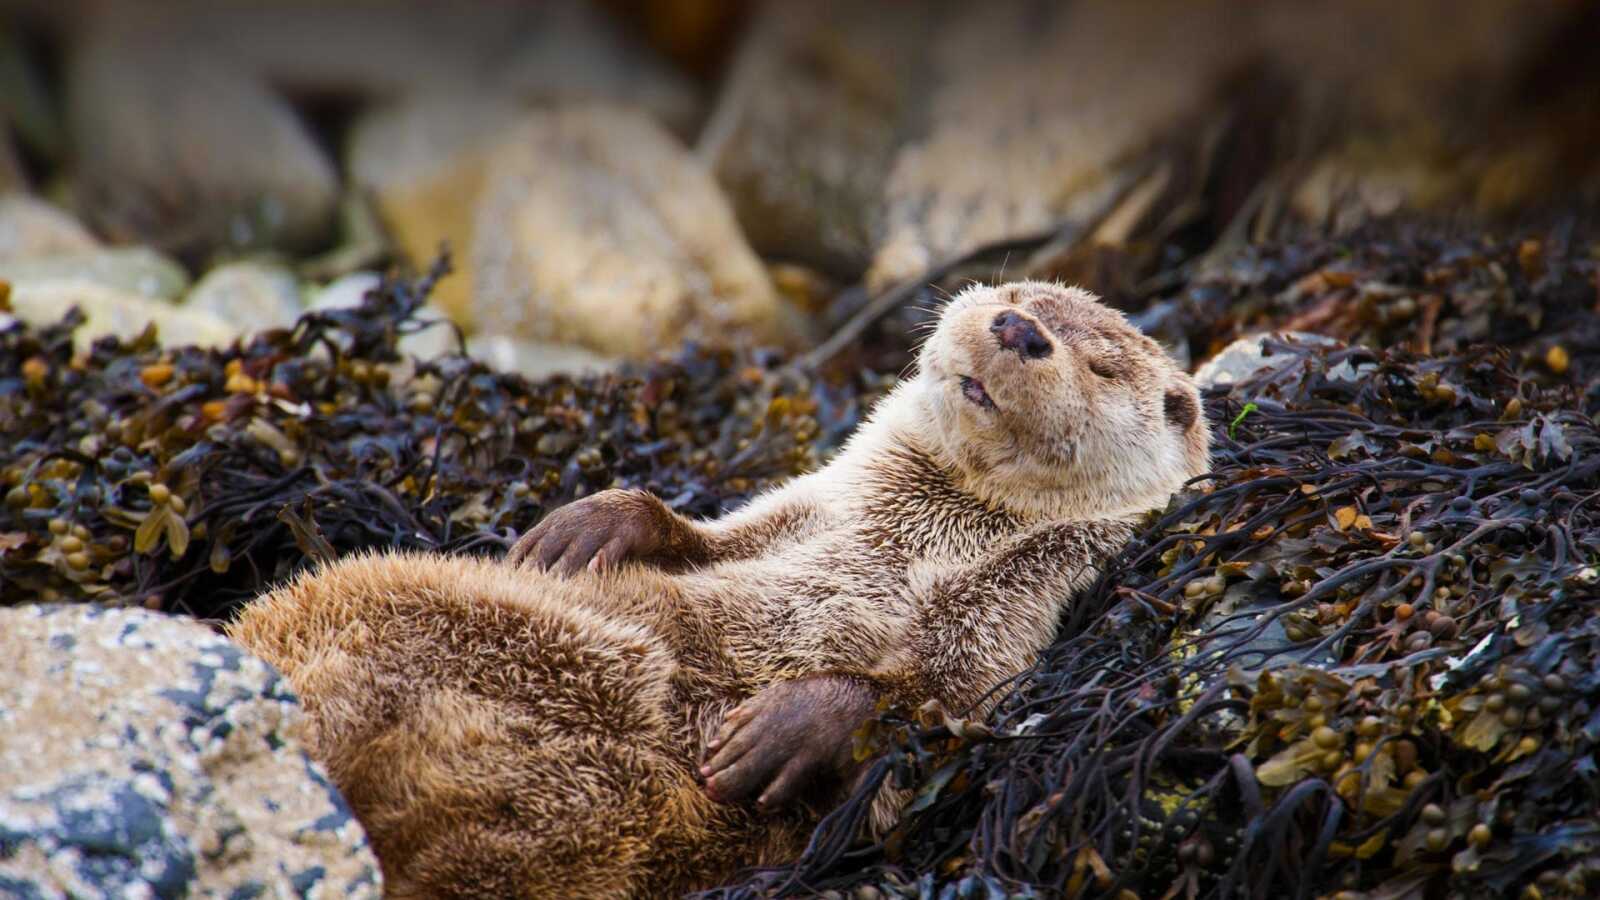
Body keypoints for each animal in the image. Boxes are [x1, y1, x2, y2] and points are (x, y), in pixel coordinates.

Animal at [228, 281, 1210, 898]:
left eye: (1102, 365)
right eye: (1015, 300)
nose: (1017, 330)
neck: (913, 534)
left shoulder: (1018, 608)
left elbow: (932, 707)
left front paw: (786, 726)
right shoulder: (803, 510)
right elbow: (705, 537)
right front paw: (592, 525)